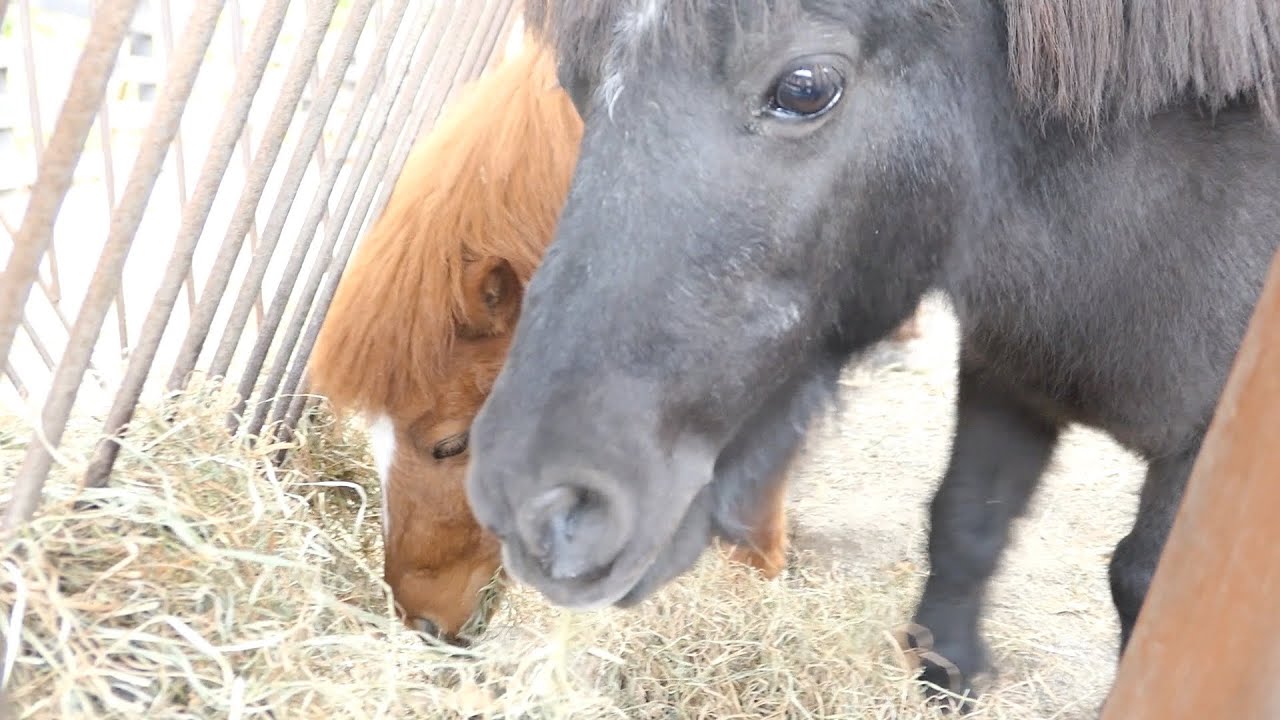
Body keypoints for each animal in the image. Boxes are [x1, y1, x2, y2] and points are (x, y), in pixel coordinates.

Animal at [462, 0, 1280, 706]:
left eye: (804, 88)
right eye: (576, 83)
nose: (539, 507)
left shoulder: (1200, 462)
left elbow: (1146, 589)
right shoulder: (1009, 379)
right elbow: (966, 519)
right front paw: (948, 674)